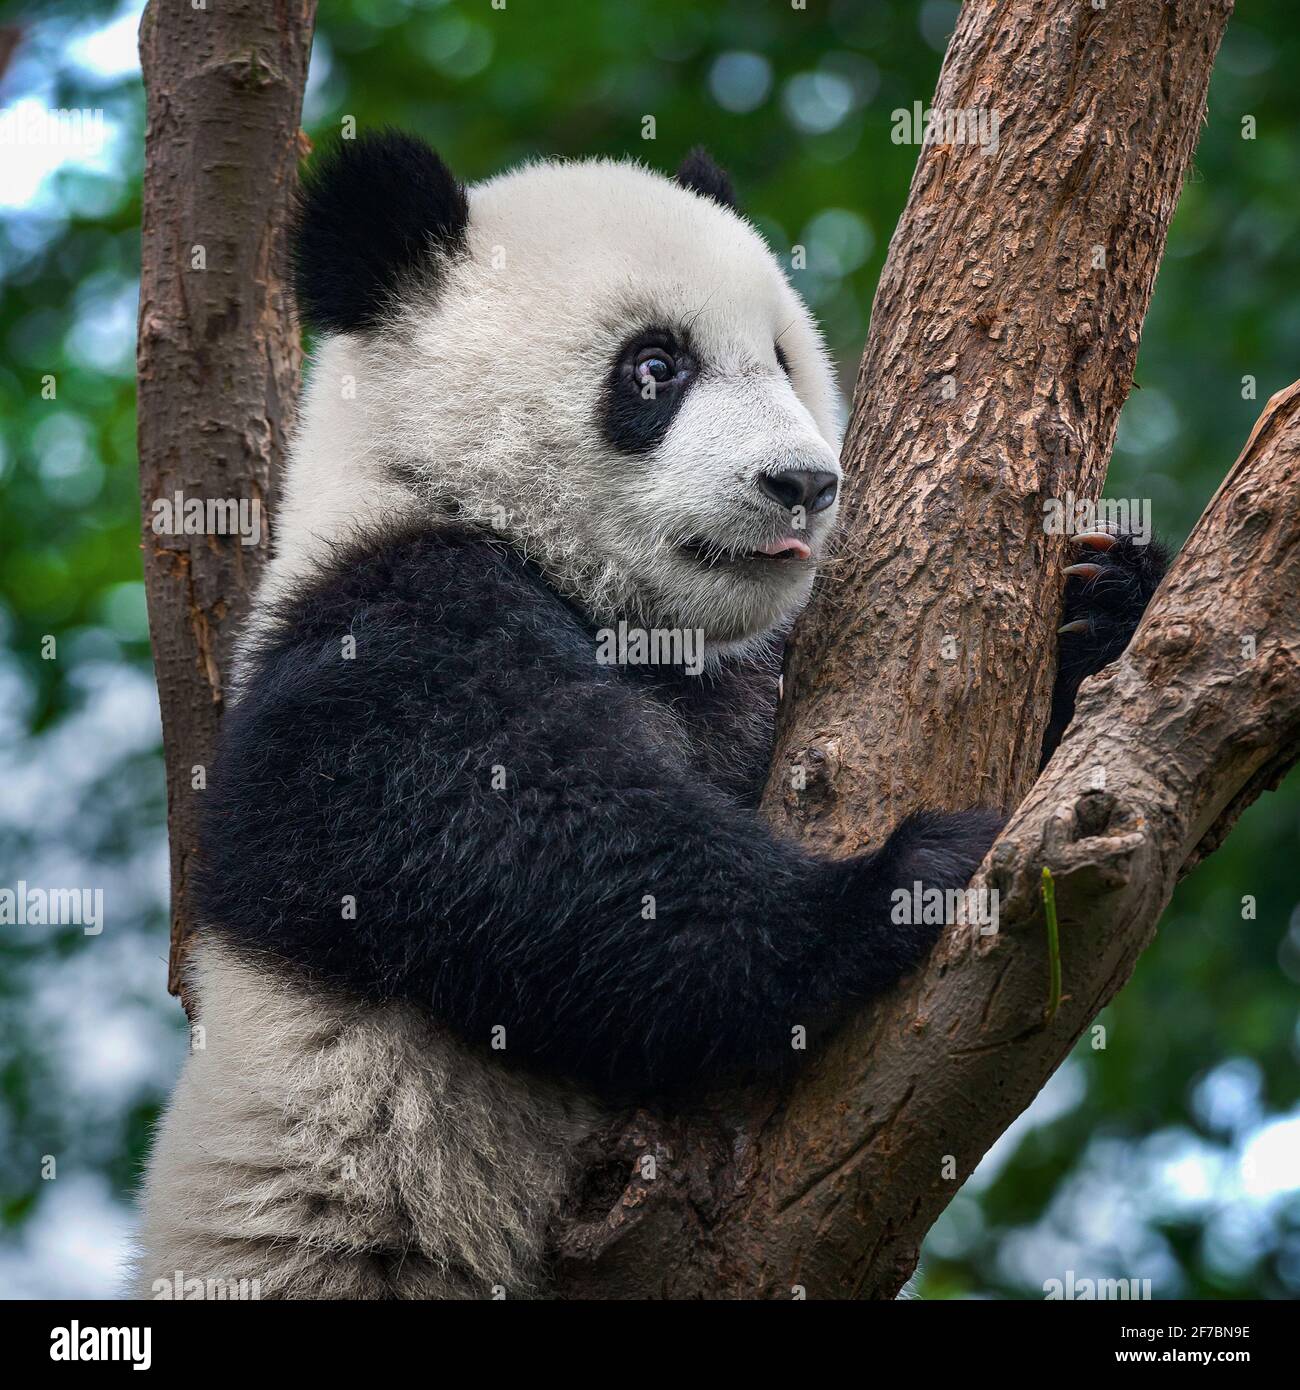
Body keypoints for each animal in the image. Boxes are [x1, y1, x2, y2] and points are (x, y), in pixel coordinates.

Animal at [133, 131, 1166, 1299]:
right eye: (656, 368)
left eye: (781, 358)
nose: (802, 483)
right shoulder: (381, 621)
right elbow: (516, 844)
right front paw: (903, 878)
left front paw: (1101, 607)